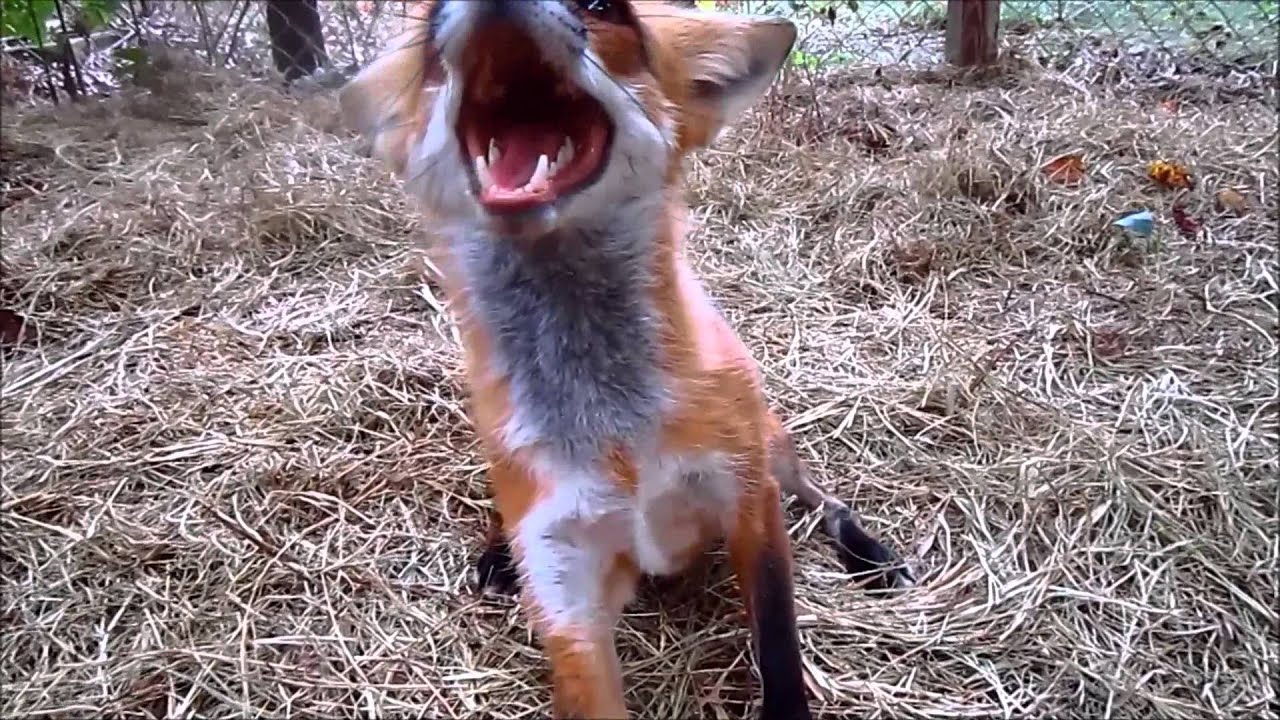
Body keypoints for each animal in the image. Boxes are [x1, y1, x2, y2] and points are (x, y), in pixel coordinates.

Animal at [338, 1, 913, 717]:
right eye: (432, 15)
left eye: (604, 9)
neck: (613, 429)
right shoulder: (567, 591)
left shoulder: (748, 503)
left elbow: (780, 651)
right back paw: (498, 554)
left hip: (773, 448)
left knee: (826, 501)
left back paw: (872, 554)